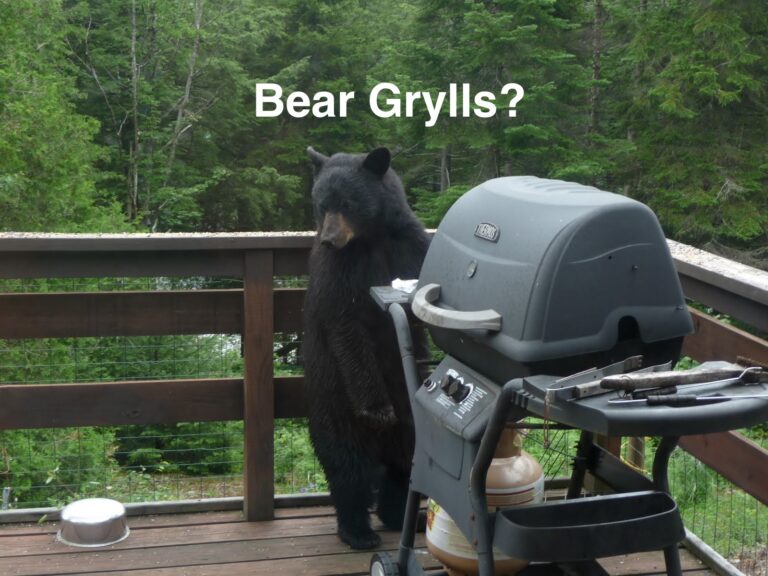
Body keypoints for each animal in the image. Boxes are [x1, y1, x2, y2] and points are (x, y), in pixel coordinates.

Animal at [303, 146, 430, 549]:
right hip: (332, 398)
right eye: (321, 204)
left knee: (405, 459)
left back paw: (400, 516)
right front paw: (376, 408)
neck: (371, 239)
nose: (329, 239)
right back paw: (357, 530)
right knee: (347, 463)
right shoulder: (339, 272)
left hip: (408, 411)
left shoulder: (411, 246)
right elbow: (346, 326)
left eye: (347, 202)